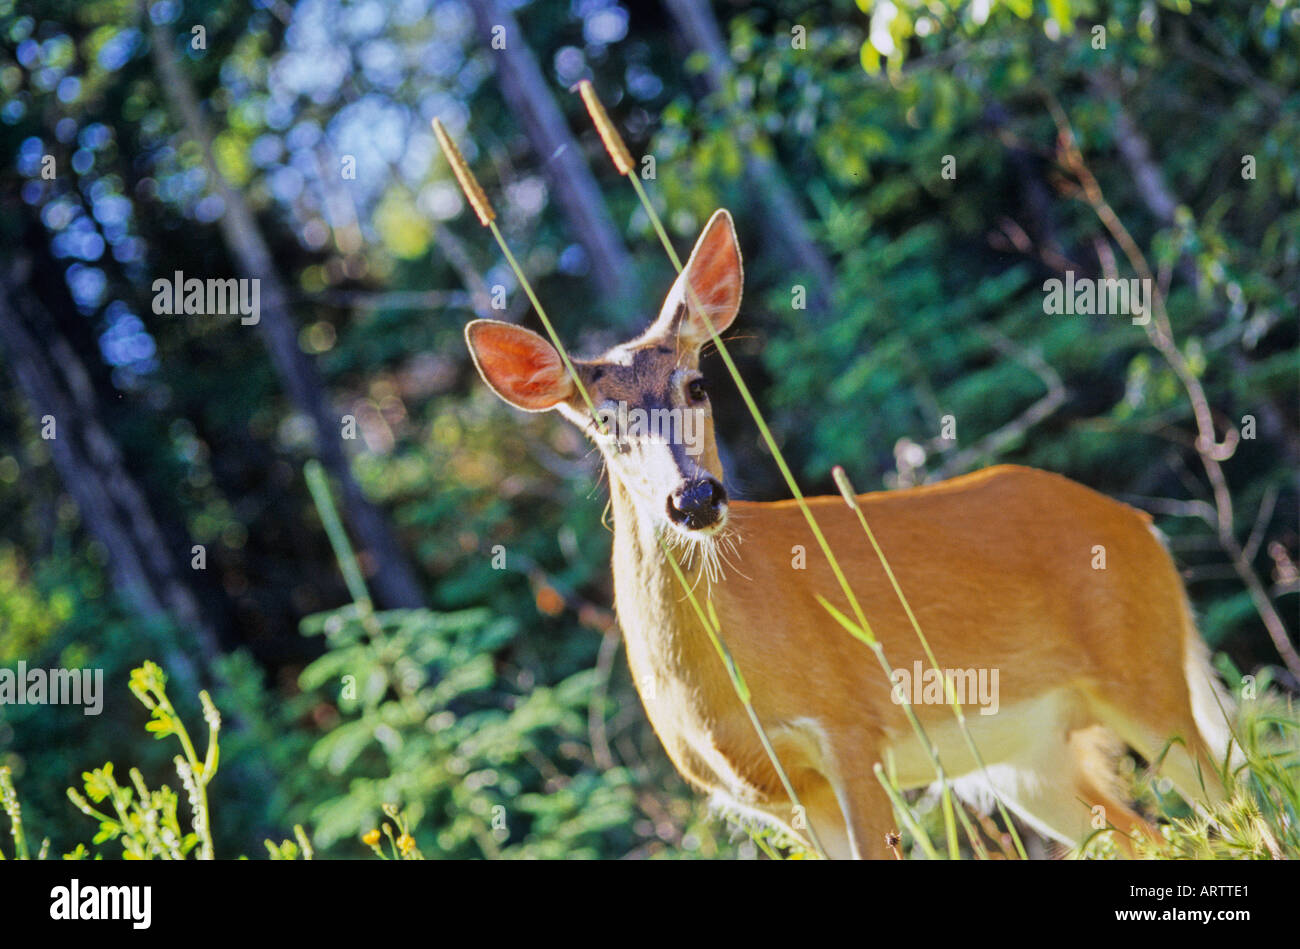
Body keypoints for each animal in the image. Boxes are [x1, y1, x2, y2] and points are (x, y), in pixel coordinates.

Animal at [463, 208, 1236, 859]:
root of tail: (1139, 524)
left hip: (1141, 669)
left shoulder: (852, 733)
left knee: (1235, 801)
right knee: (1154, 833)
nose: (695, 498)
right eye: (604, 422)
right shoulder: (778, 798)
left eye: (697, 386)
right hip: (1029, 758)